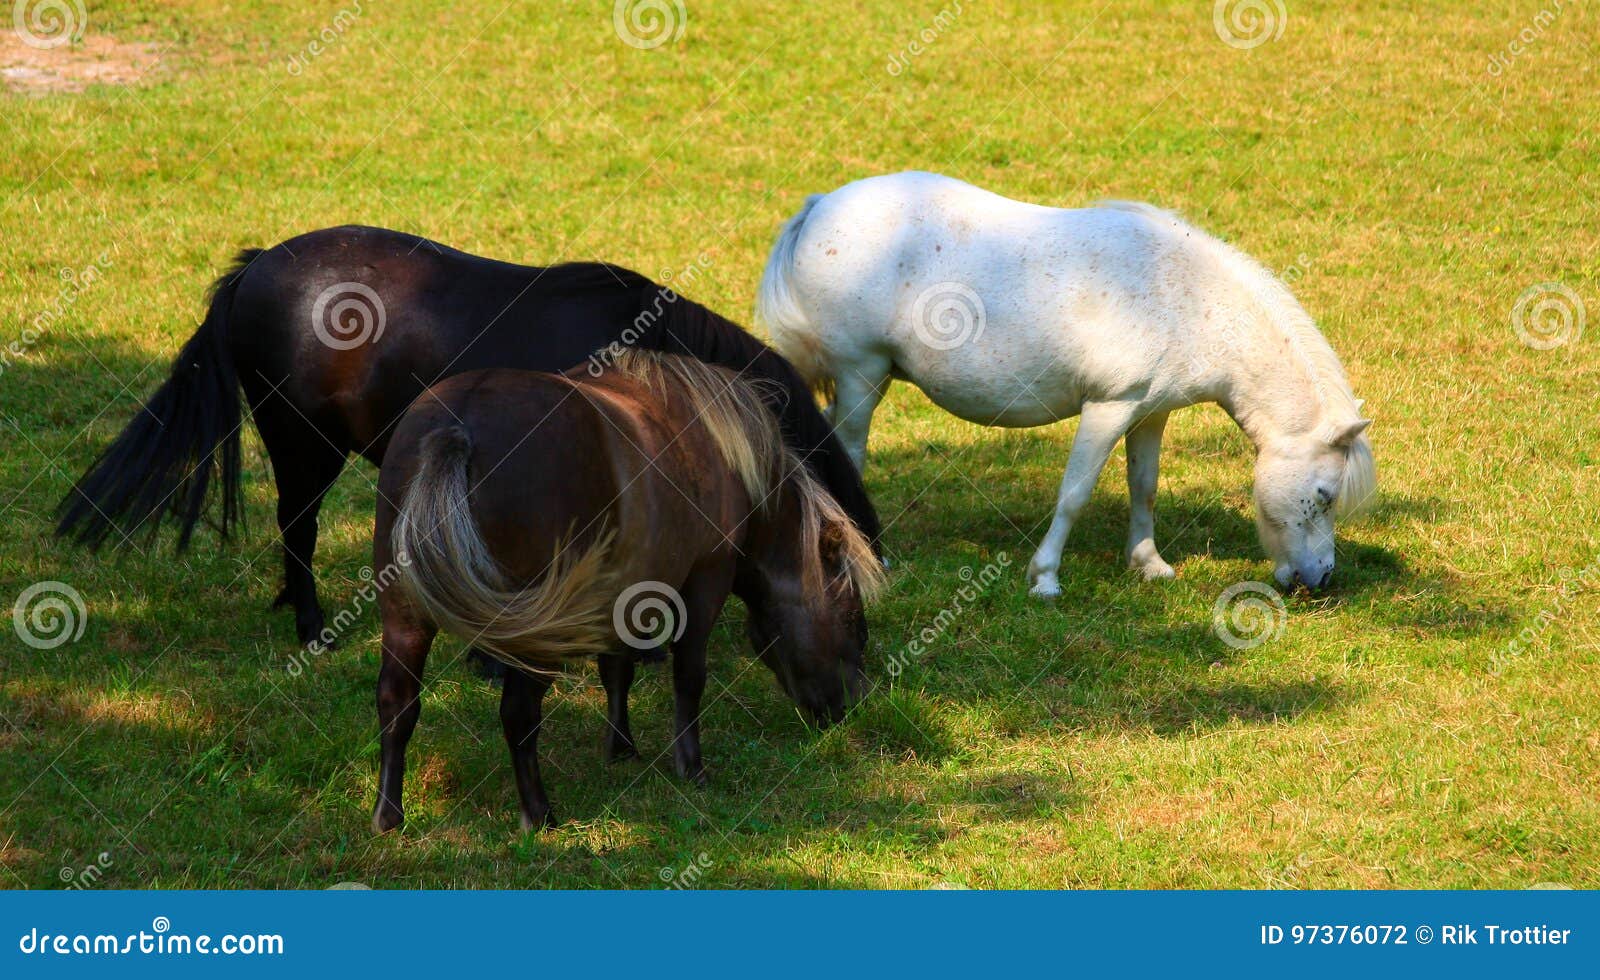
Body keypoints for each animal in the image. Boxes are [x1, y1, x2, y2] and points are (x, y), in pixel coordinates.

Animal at [372, 351, 883, 832]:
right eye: (853, 621)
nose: (852, 708)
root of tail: (457, 426)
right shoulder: (706, 581)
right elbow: (688, 675)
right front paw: (691, 768)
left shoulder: (622, 594)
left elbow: (616, 670)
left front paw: (620, 748)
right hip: (534, 637)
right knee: (518, 713)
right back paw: (538, 814)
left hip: (404, 618)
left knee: (398, 703)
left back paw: (388, 816)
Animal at [756, 171, 1375, 595]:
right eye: (1324, 496)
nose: (1321, 579)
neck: (1185, 299)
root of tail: (821, 205)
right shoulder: (1108, 408)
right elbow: (1074, 493)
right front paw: (1046, 577)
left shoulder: (1150, 413)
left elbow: (1143, 486)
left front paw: (1148, 564)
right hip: (861, 375)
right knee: (850, 449)